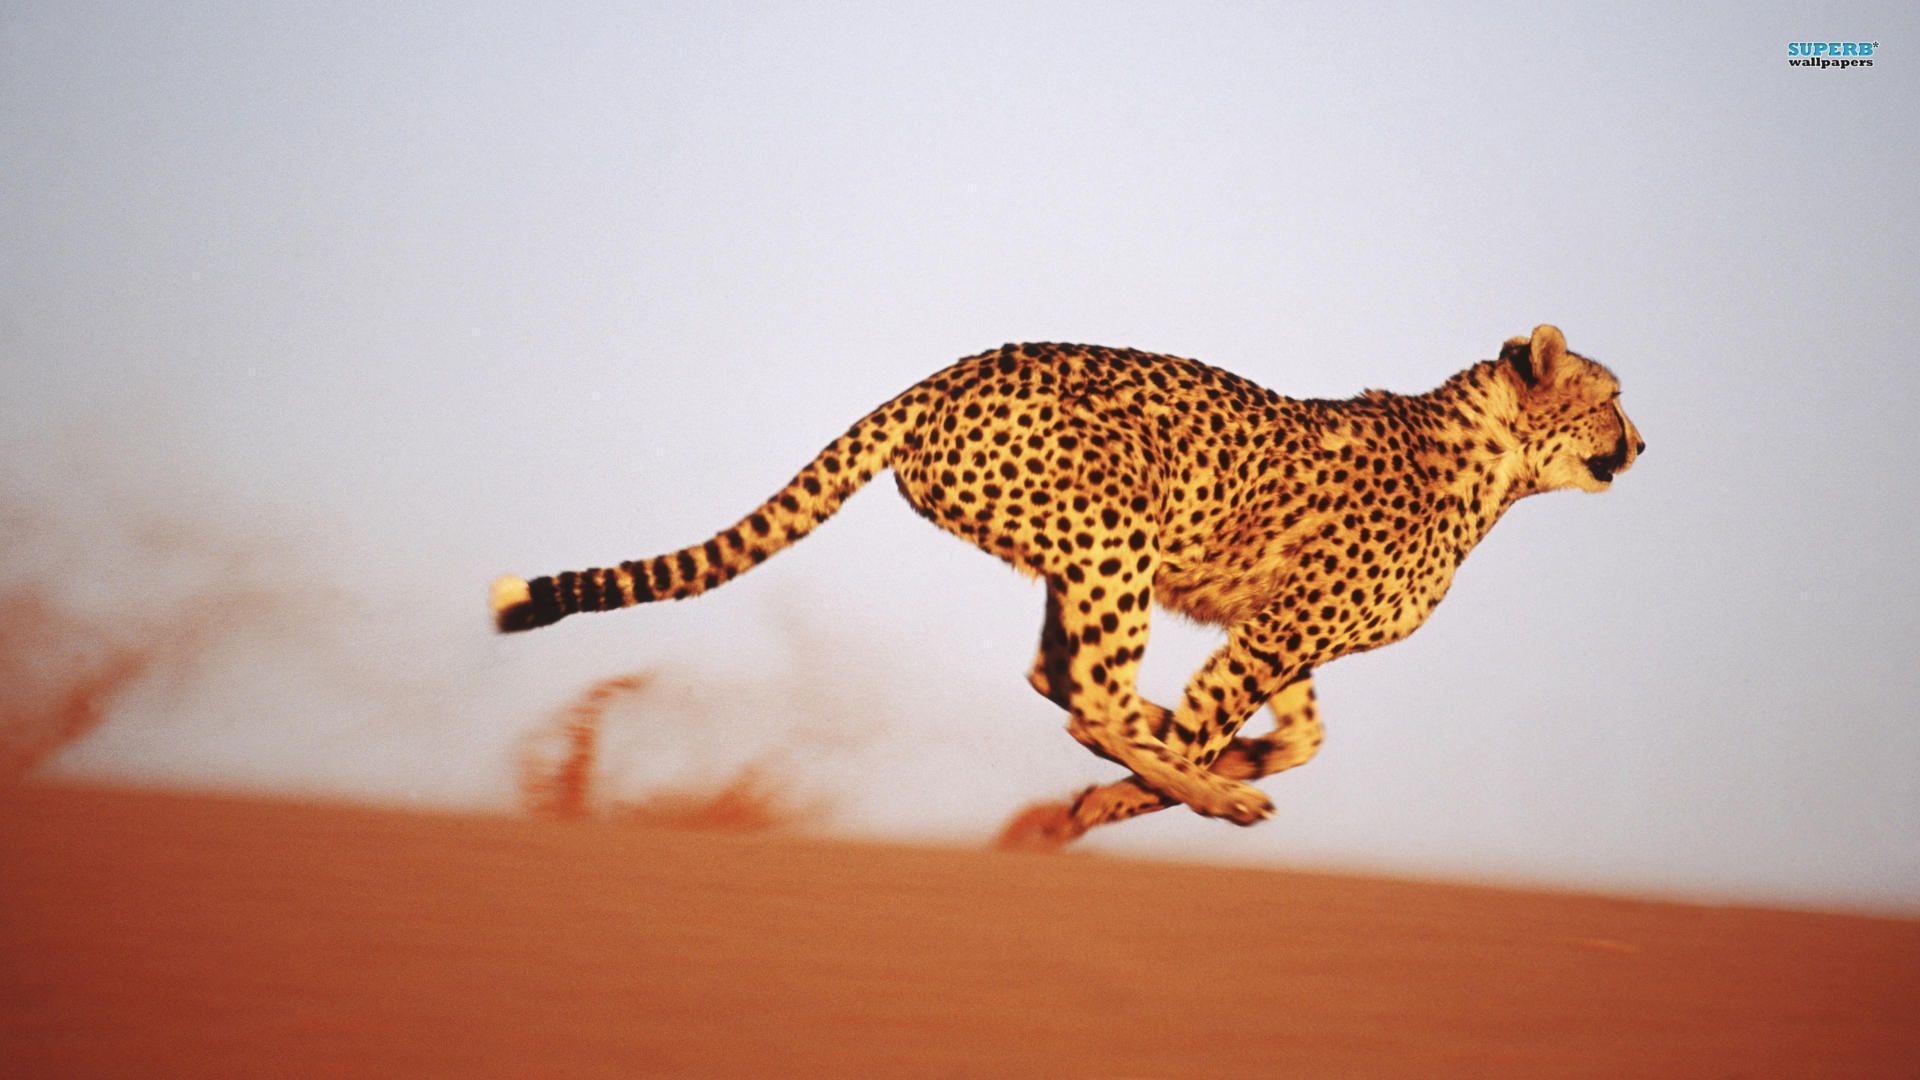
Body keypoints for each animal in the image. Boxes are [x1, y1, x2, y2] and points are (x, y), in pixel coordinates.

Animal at [491, 324, 1642, 846]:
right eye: (1611, 397)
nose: (1641, 441)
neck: (1496, 466)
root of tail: (948, 371)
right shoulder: (1278, 632)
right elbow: (1208, 725)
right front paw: (1143, 795)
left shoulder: (1278, 630)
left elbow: (1303, 734)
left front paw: (1225, 759)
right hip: (1119, 530)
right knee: (1084, 696)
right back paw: (1196, 790)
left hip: (1078, 555)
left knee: (1061, 679)